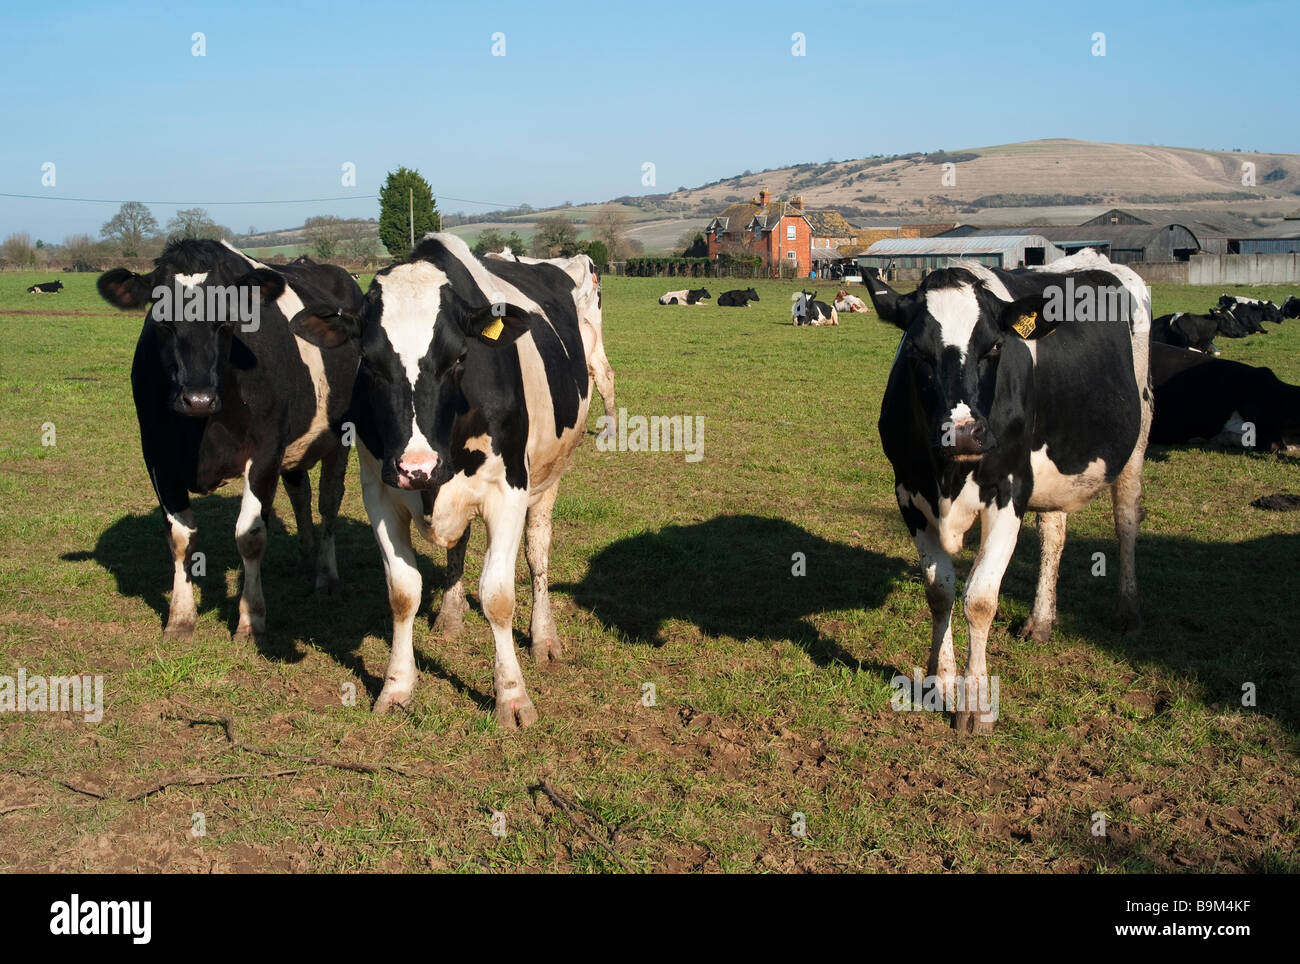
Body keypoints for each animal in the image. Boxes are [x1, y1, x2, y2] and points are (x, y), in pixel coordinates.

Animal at [96, 239, 363, 641]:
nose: (197, 399)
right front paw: (180, 618)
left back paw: (326, 576)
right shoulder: (156, 454)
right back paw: (306, 556)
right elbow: (180, 537)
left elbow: (250, 536)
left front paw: (251, 620)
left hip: (340, 435)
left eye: (225, 321)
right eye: (162, 321)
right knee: (300, 493)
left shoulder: (265, 450)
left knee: (329, 500)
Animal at [287, 233, 603, 728]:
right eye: (368, 361)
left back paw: (543, 637)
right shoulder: (380, 493)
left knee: (537, 552)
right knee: (459, 546)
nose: (417, 466)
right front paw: (397, 687)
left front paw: (512, 697)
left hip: (549, 476)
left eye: (459, 357)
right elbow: (403, 592)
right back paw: (451, 616)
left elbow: (497, 597)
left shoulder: (508, 491)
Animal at [867, 249, 1152, 733]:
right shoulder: (908, 492)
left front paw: (976, 704)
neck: (948, 476)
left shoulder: (1009, 490)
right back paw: (1040, 621)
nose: (963, 432)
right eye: (915, 351)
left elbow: (980, 599)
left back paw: (1129, 612)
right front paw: (940, 682)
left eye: (996, 347)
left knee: (1127, 520)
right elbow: (940, 591)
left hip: (1137, 436)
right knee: (1053, 534)